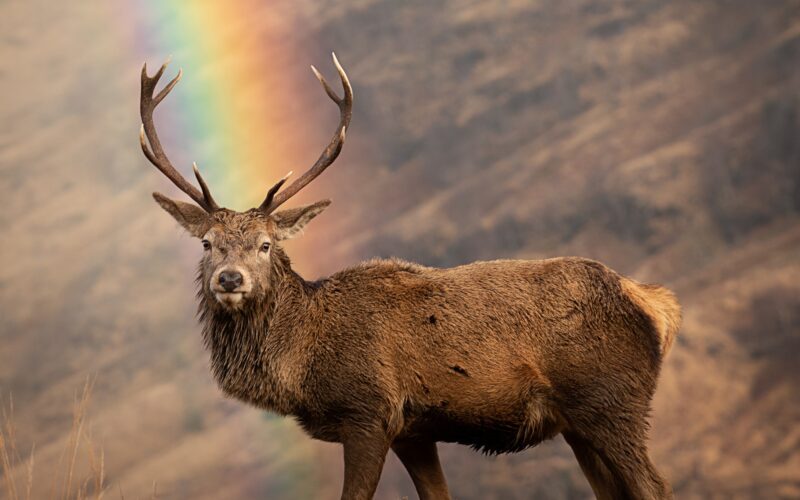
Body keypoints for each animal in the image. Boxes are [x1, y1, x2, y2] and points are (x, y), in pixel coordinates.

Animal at [138, 54, 681, 500]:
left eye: (267, 245)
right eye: (207, 244)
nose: (230, 280)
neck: (304, 365)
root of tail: (654, 303)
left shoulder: (368, 412)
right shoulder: (414, 432)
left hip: (610, 400)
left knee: (653, 486)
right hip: (578, 422)